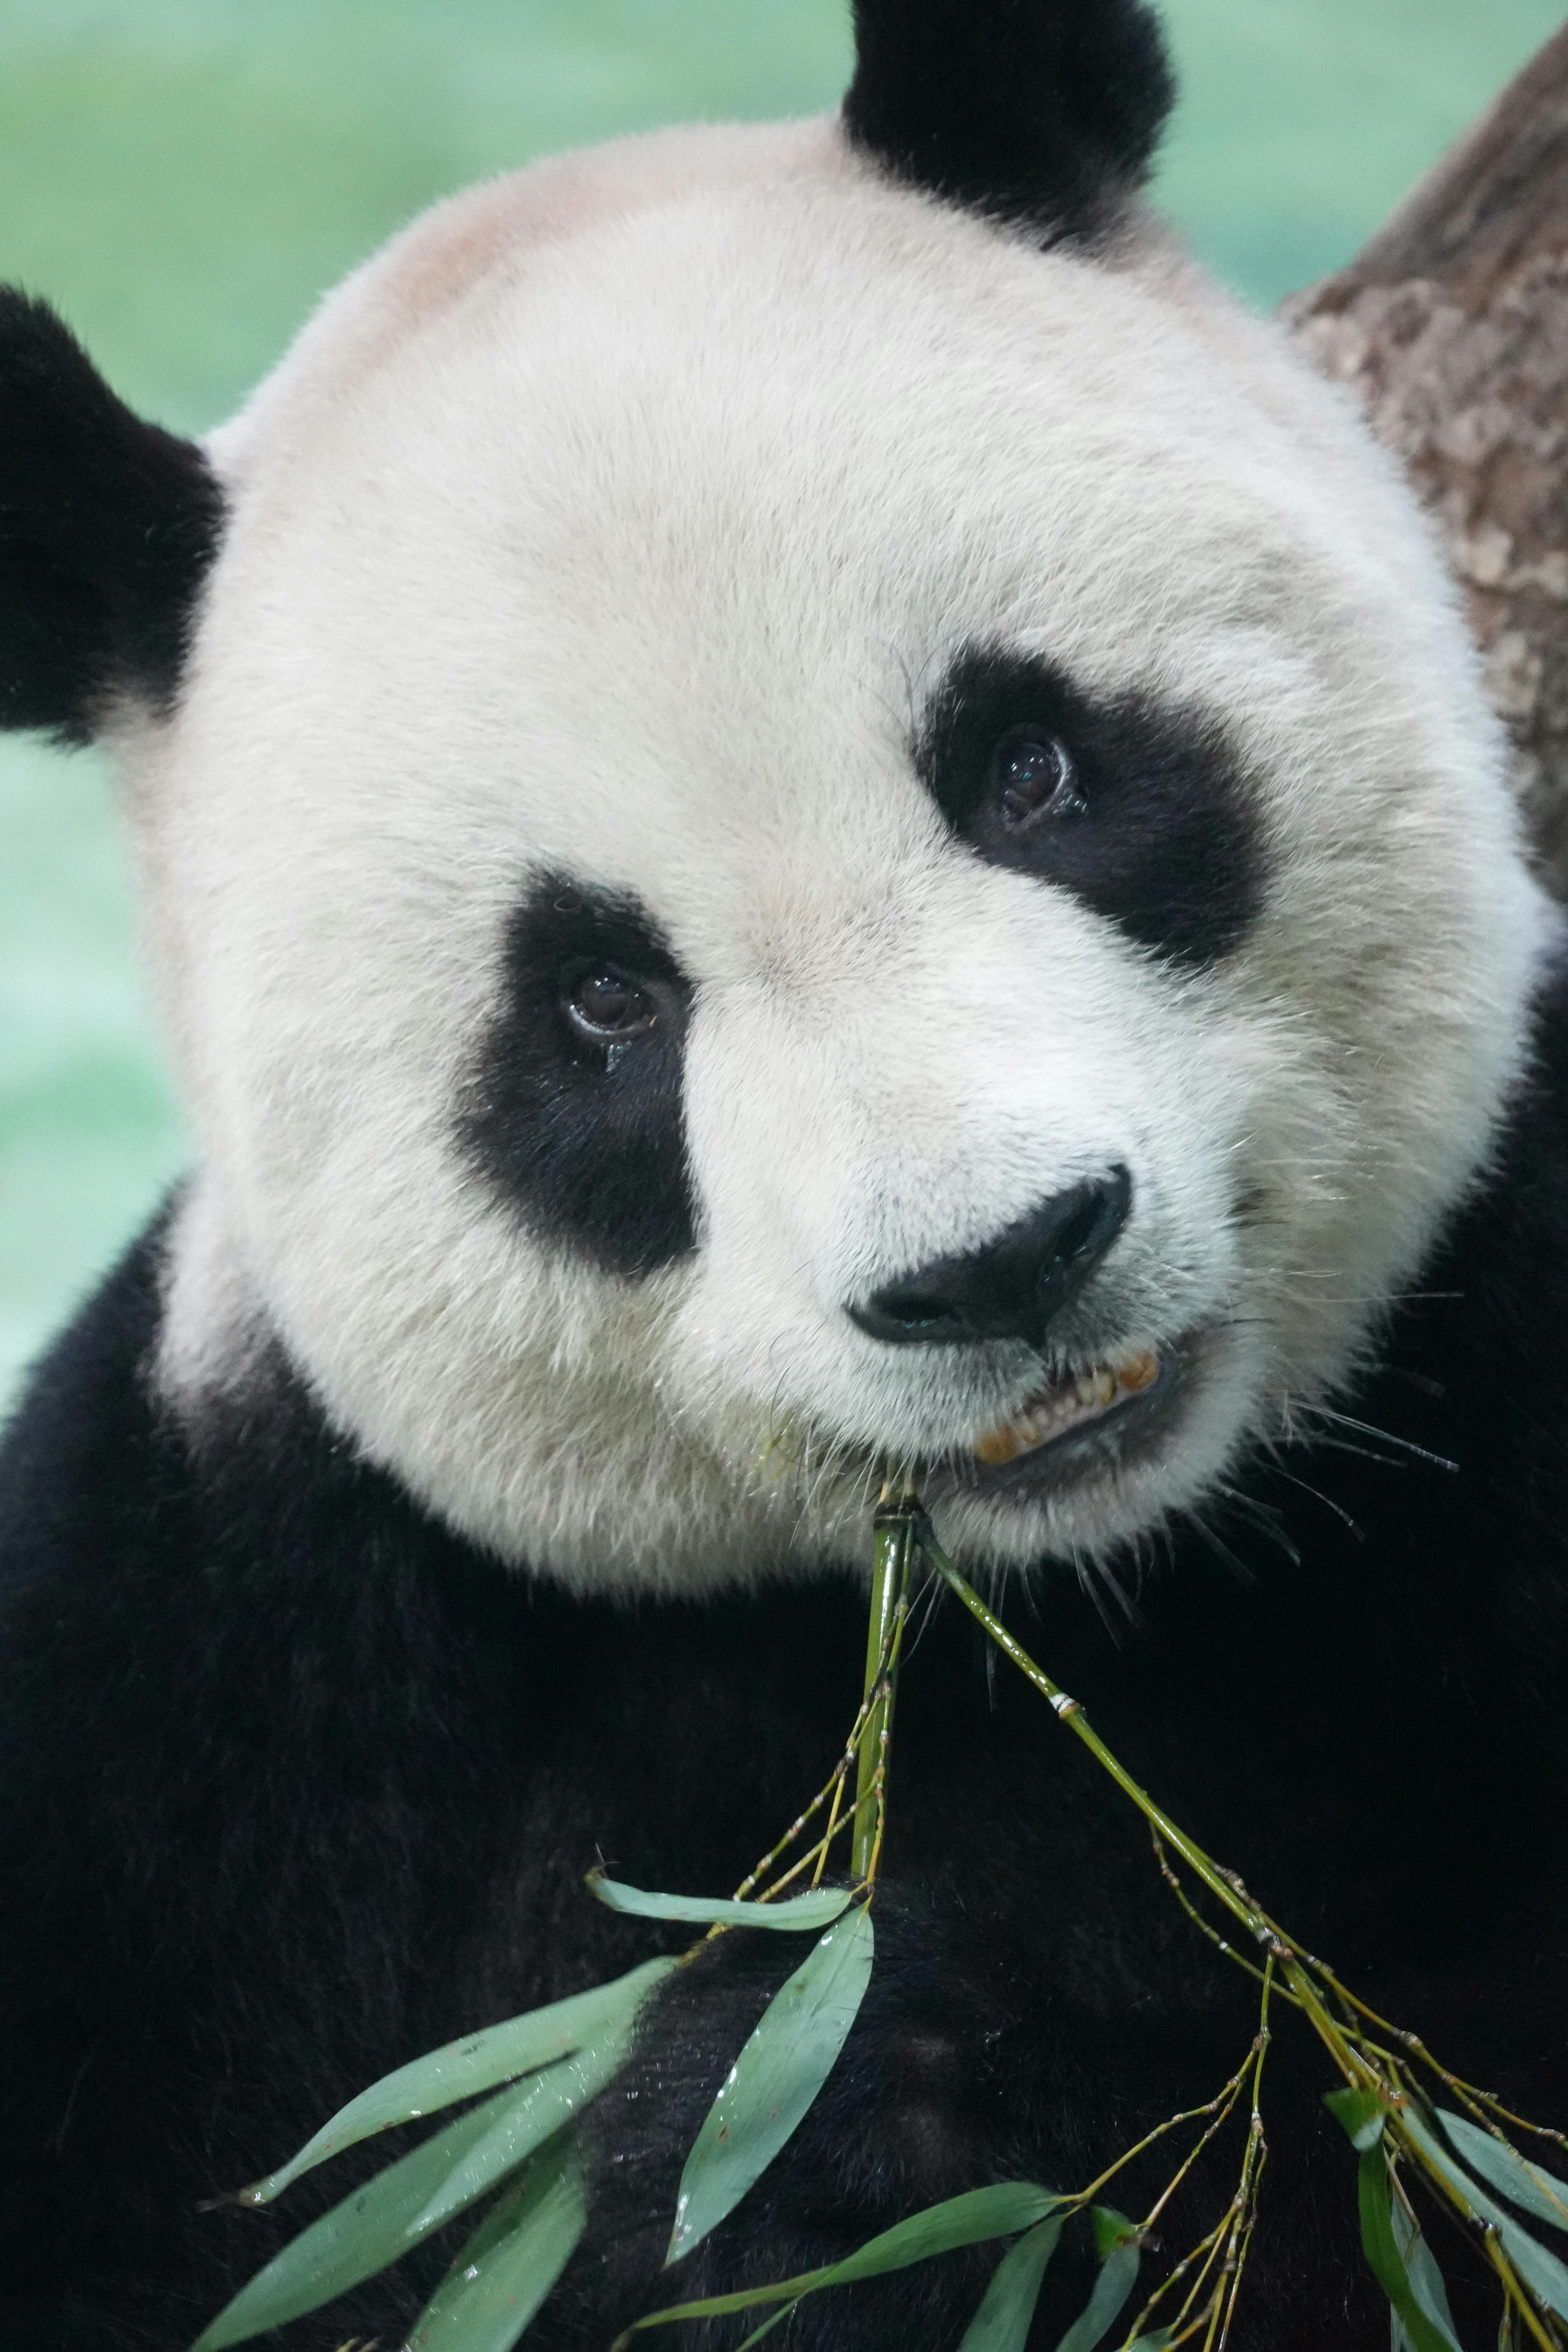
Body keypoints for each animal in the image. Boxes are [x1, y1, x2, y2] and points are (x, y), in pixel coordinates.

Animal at [3, 0, 1566, 2345]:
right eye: (596, 1001)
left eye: (1030, 766)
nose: (1000, 1262)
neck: (1050, 1584)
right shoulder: (202, 1706)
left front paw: (827, 2115)